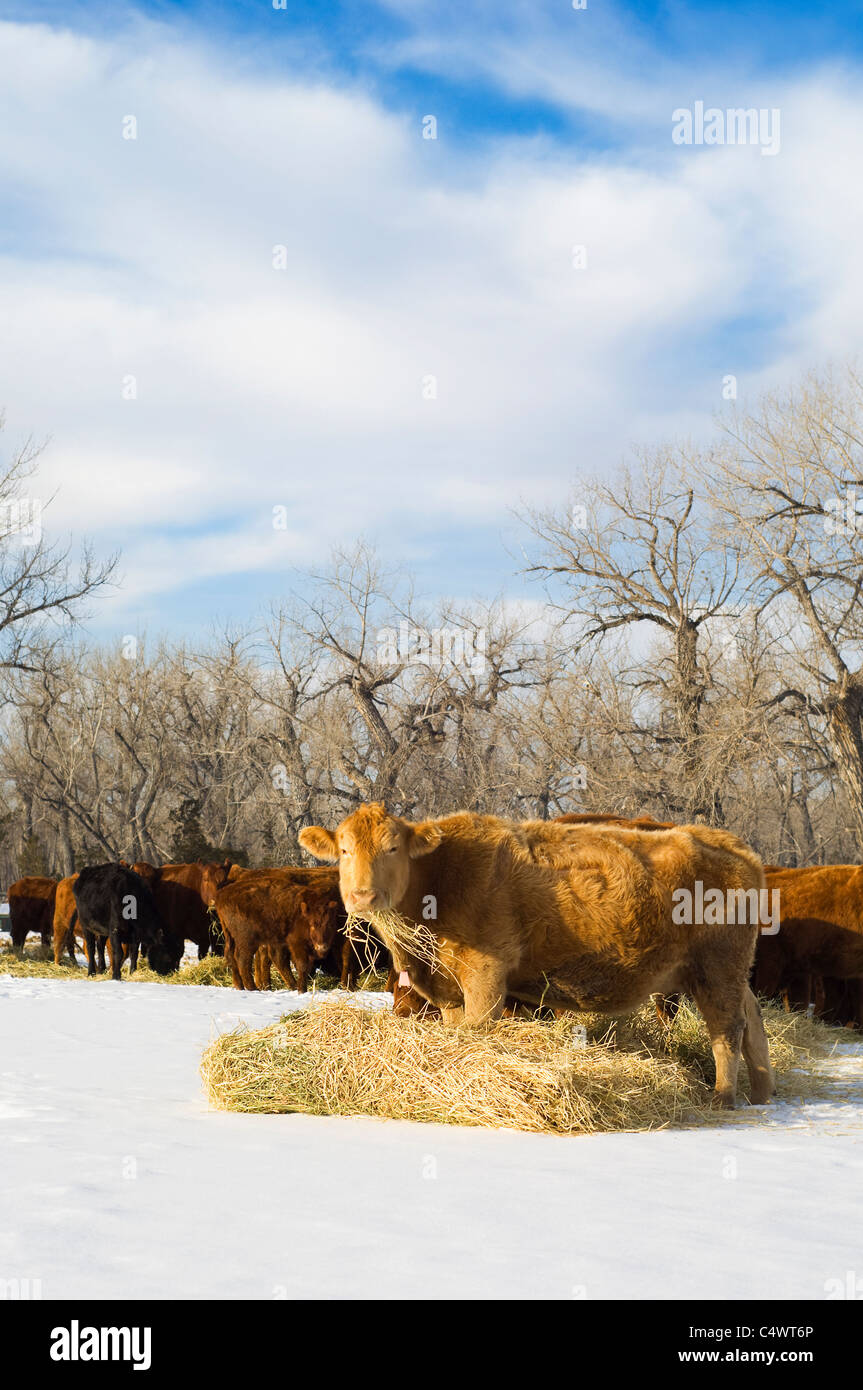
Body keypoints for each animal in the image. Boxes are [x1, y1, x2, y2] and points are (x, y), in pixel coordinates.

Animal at [299, 802, 774, 1107]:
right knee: (753, 1022)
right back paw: (762, 1095)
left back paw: (723, 1099)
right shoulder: (449, 989)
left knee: (727, 1031)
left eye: (393, 848)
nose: (363, 895)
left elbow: (479, 1033)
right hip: (730, 975)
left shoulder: (486, 977)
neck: (439, 877)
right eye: (344, 849)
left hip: (717, 971)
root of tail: (733, 845)